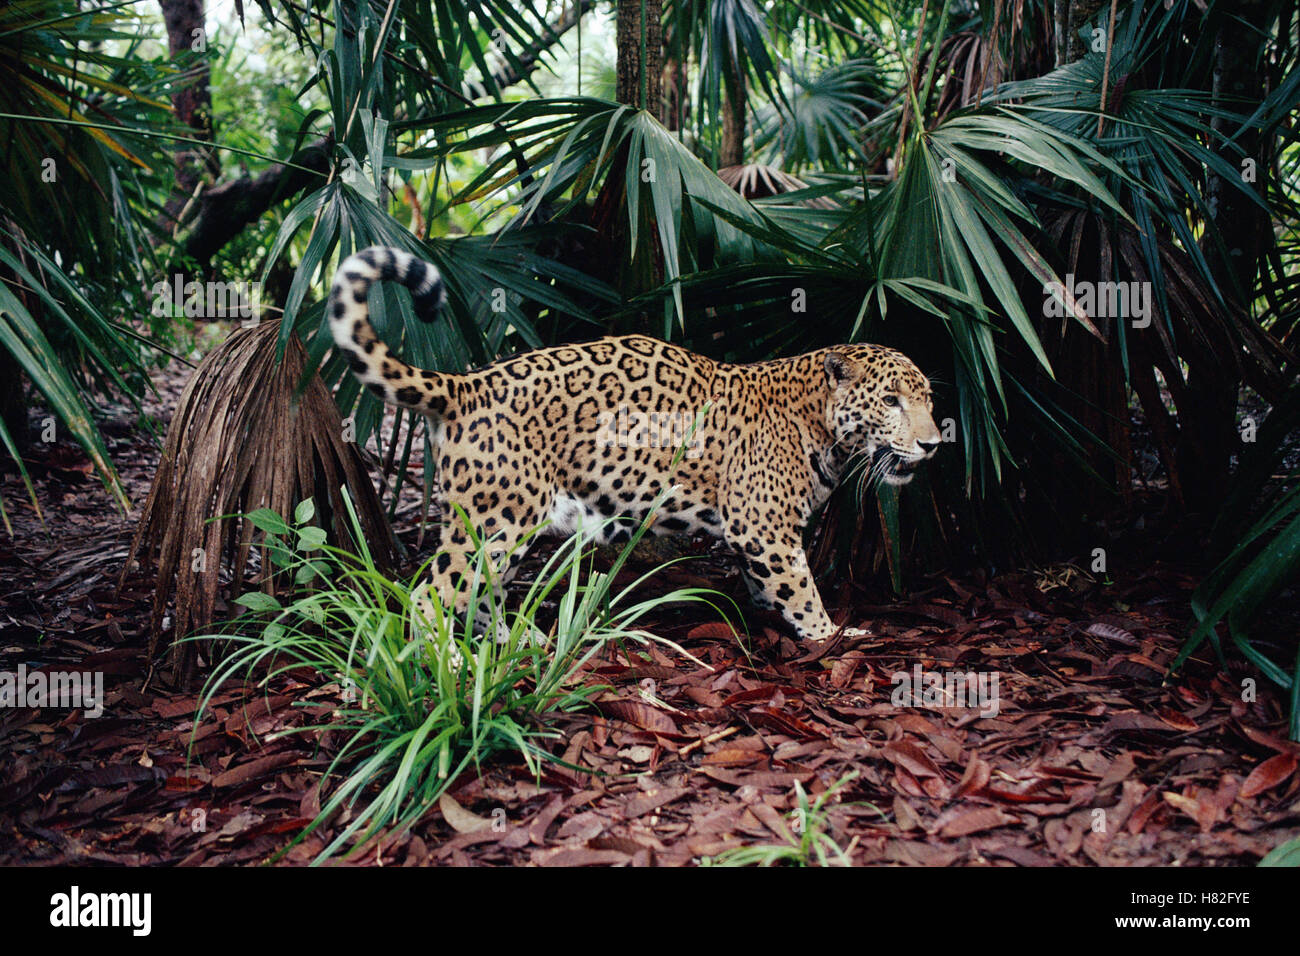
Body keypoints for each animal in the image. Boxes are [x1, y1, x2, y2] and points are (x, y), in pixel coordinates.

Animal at [328, 245, 941, 643]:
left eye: (928, 398)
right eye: (891, 401)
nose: (935, 444)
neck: (823, 427)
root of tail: (467, 383)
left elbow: (771, 585)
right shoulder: (762, 527)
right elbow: (800, 586)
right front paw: (829, 635)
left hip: (495, 523)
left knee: (480, 594)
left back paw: (518, 644)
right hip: (495, 519)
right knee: (432, 594)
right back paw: (451, 664)